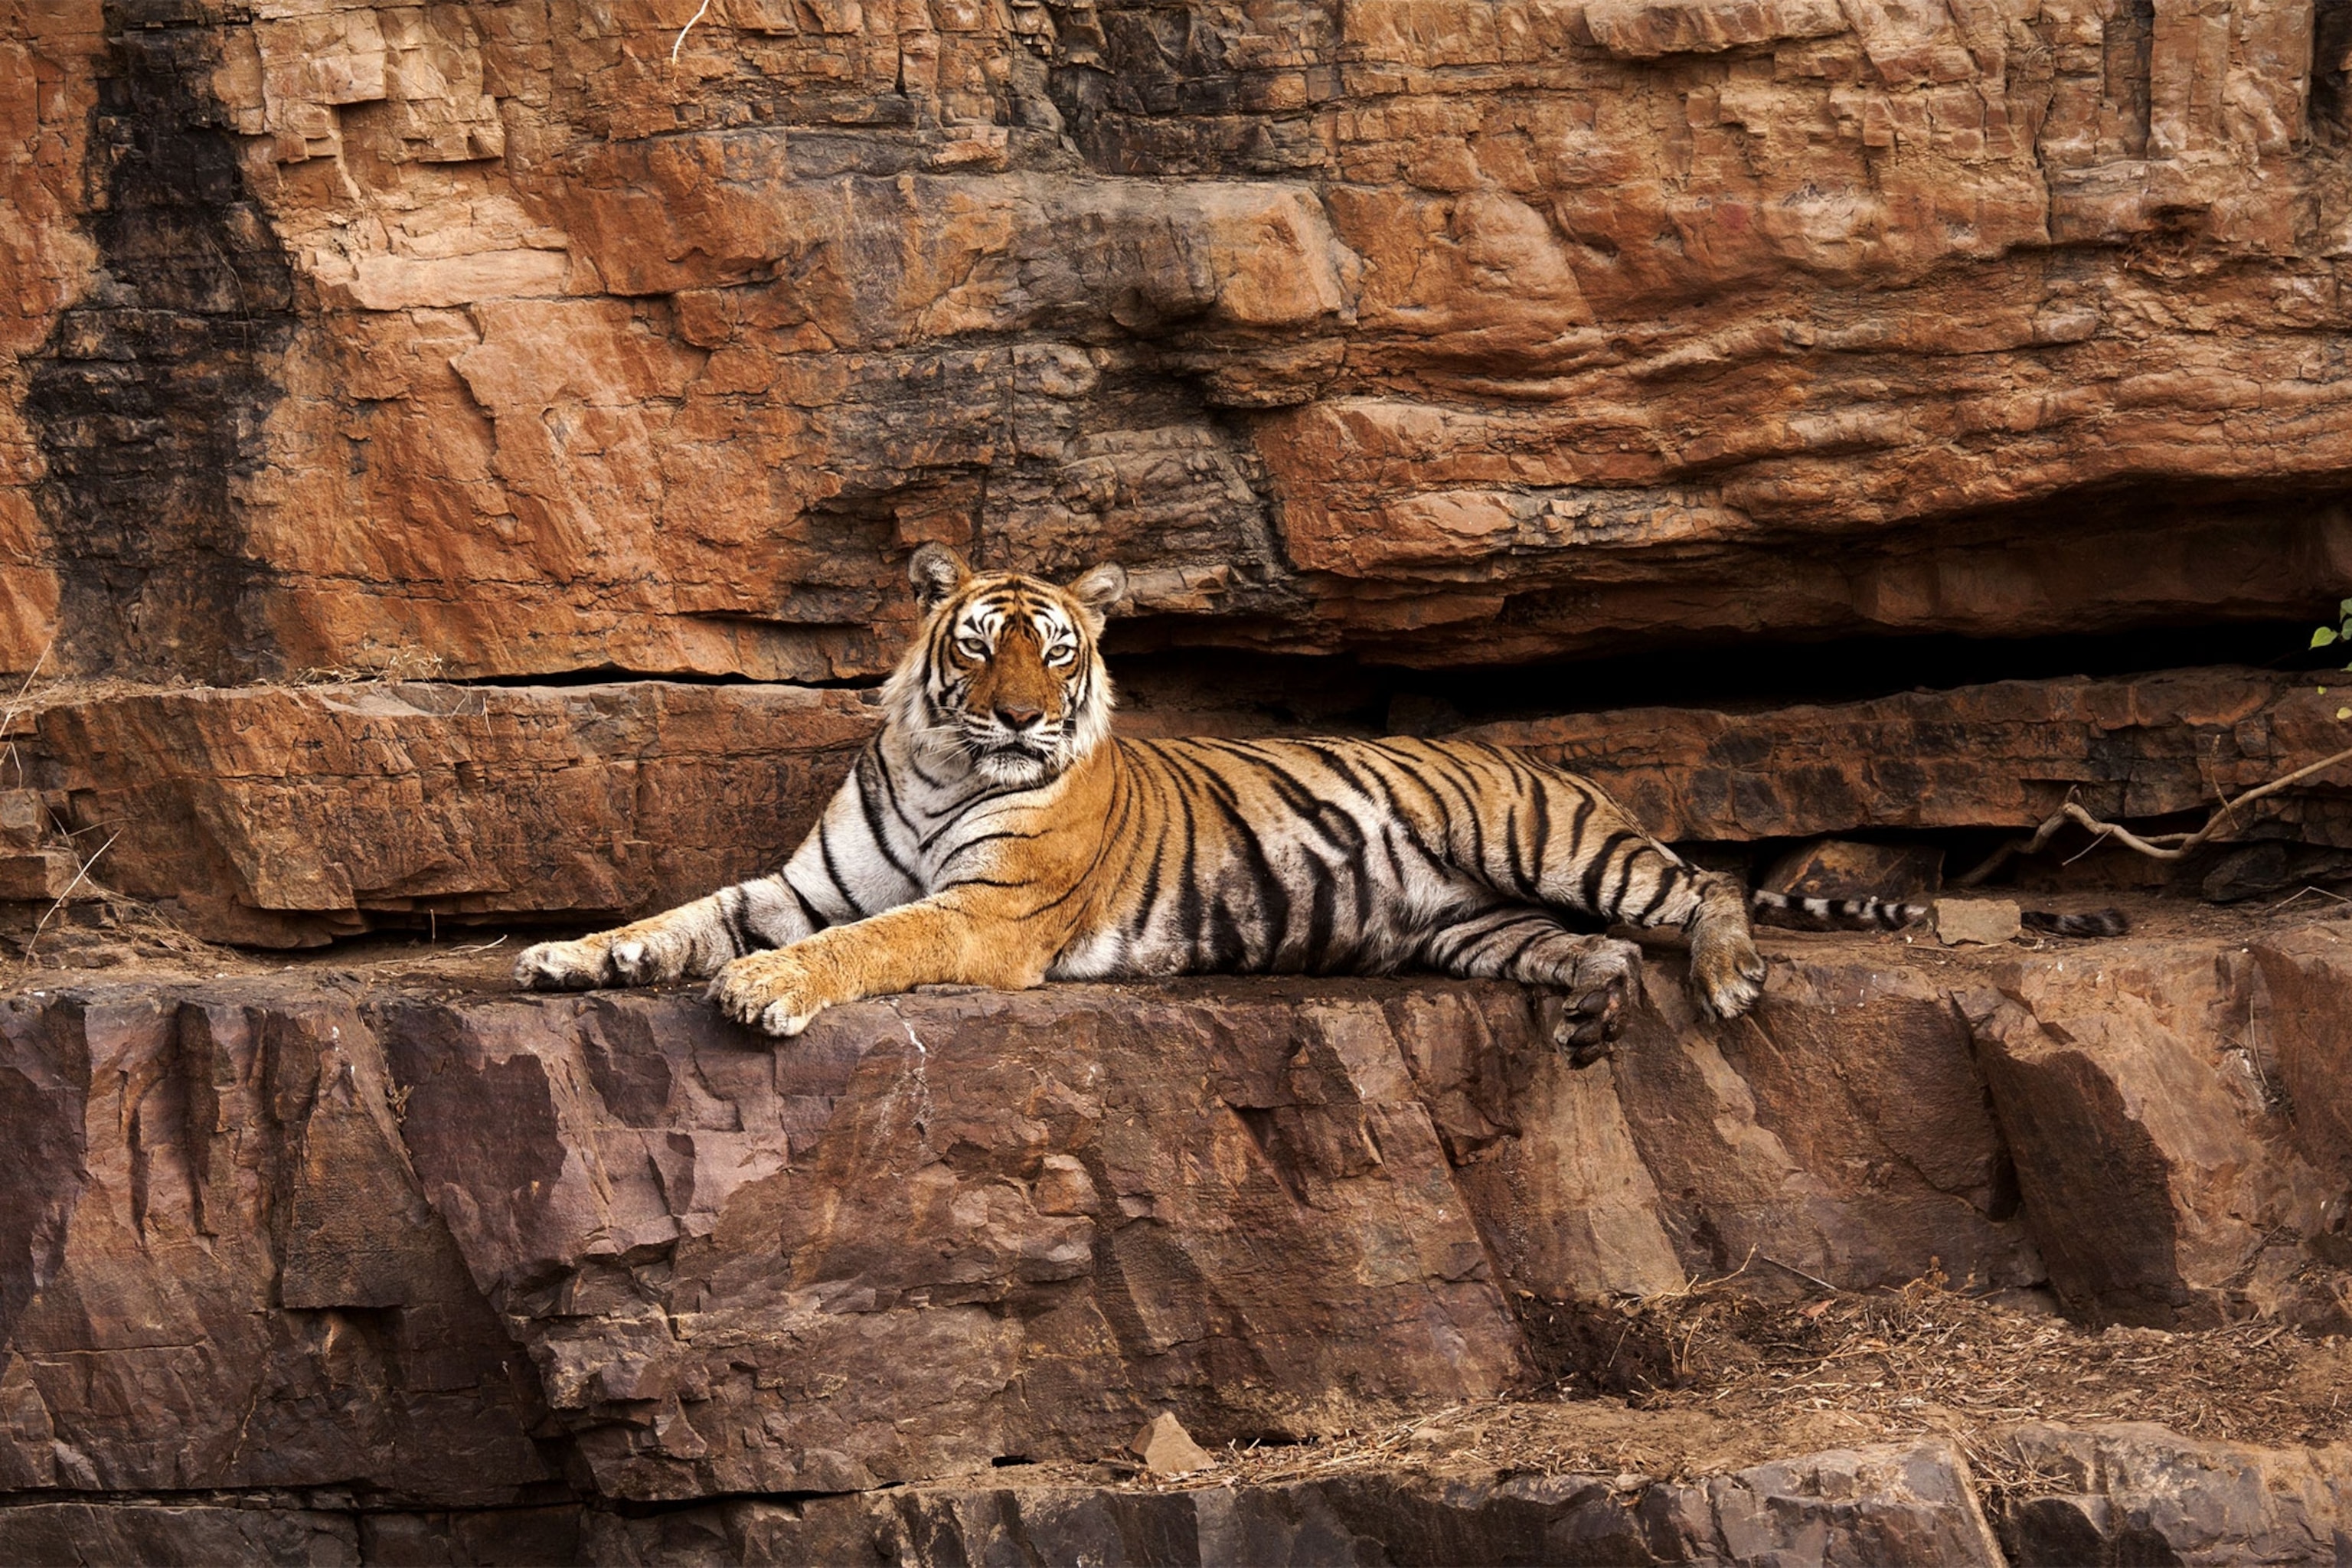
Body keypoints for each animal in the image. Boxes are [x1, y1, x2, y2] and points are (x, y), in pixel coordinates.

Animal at [512, 545, 2117, 1059]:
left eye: (1059, 648)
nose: (1026, 716)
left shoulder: (981, 912)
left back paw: (1721, 979)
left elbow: (861, 946)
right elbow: (687, 910)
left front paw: (763, 992)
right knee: (1591, 949)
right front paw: (567, 955)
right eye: (977, 646)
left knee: (1703, 889)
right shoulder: (806, 878)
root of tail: (1526, 754)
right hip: (1470, 927)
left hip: (1551, 839)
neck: (936, 758)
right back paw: (1590, 1010)